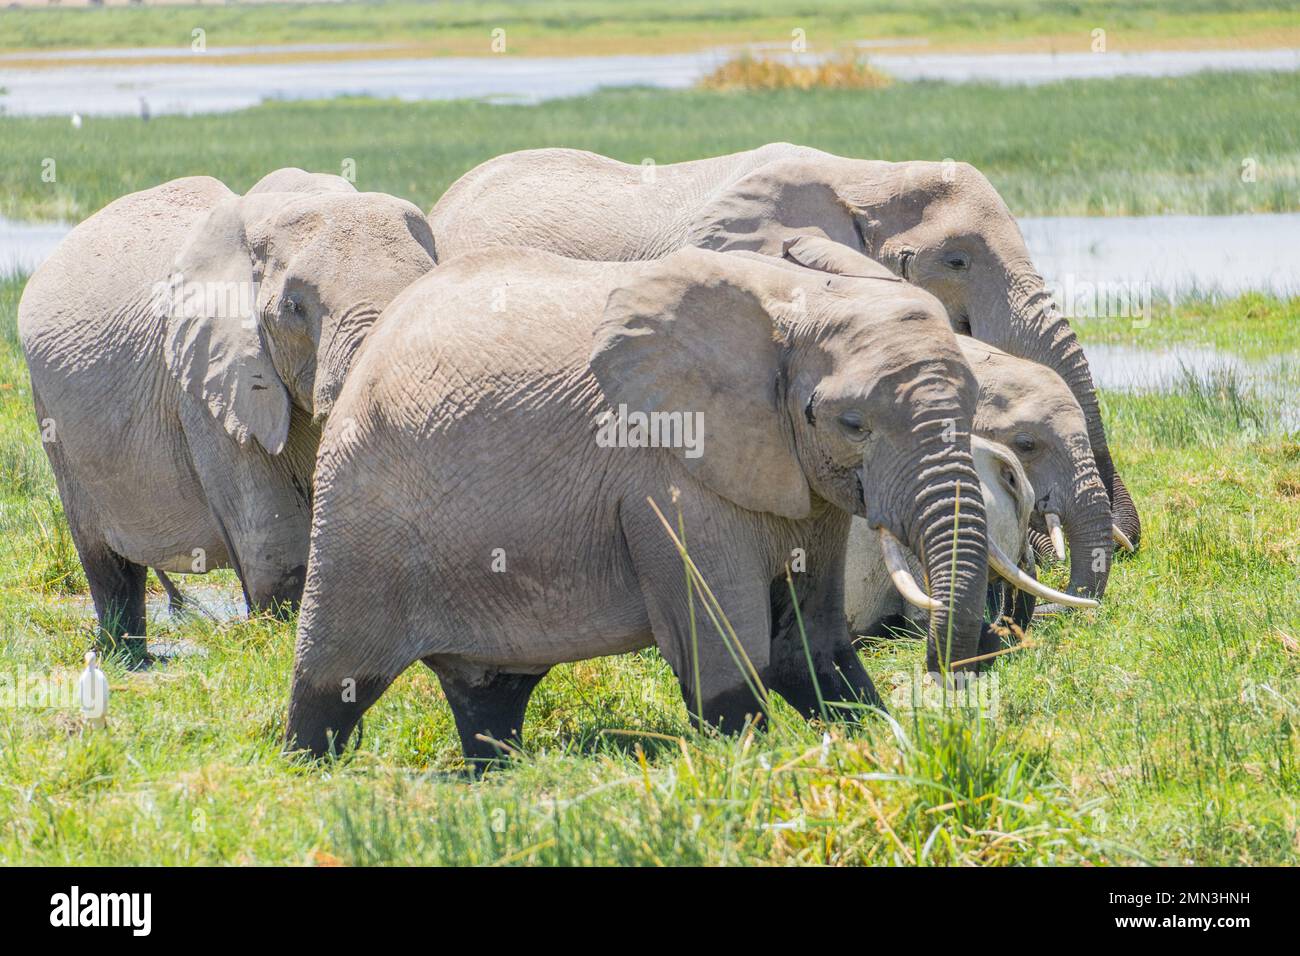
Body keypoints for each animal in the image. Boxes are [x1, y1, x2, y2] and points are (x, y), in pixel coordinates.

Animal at [18, 170, 436, 643]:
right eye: (294, 307)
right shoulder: (205, 386)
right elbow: (273, 546)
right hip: (52, 416)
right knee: (107, 563)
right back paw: (122, 651)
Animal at [284, 237, 1005, 763]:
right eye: (853, 424)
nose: (950, 672)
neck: (793, 300)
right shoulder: (669, 479)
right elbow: (725, 655)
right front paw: (747, 765)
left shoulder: (802, 488)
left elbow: (810, 648)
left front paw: (875, 740)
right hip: (363, 503)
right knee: (334, 680)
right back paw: (307, 770)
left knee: (491, 691)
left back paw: (497, 773)